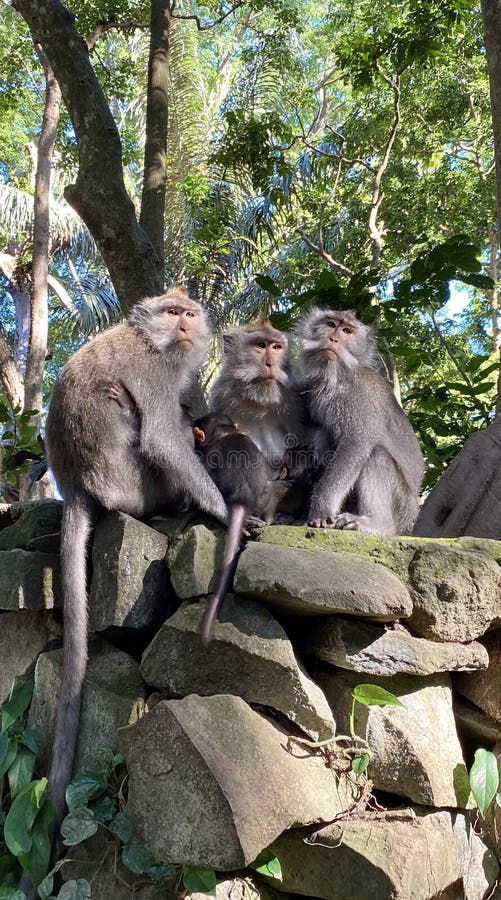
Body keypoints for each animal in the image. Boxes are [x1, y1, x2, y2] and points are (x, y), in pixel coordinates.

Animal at [44, 287, 228, 833]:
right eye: (172, 313)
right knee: (172, 439)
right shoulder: (154, 373)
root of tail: (77, 488)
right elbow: (165, 439)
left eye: (189, 313)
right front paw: (220, 508)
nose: (186, 324)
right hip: (139, 489)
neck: (151, 341)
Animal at [299, 308, 424, 535]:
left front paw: (321, 508)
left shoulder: (355, 396)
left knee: (377, 454)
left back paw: (377, 524)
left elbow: (356, 445)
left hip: (401, 508)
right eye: (331, 324)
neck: (338, 375)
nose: (333, 338)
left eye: (347, 331)